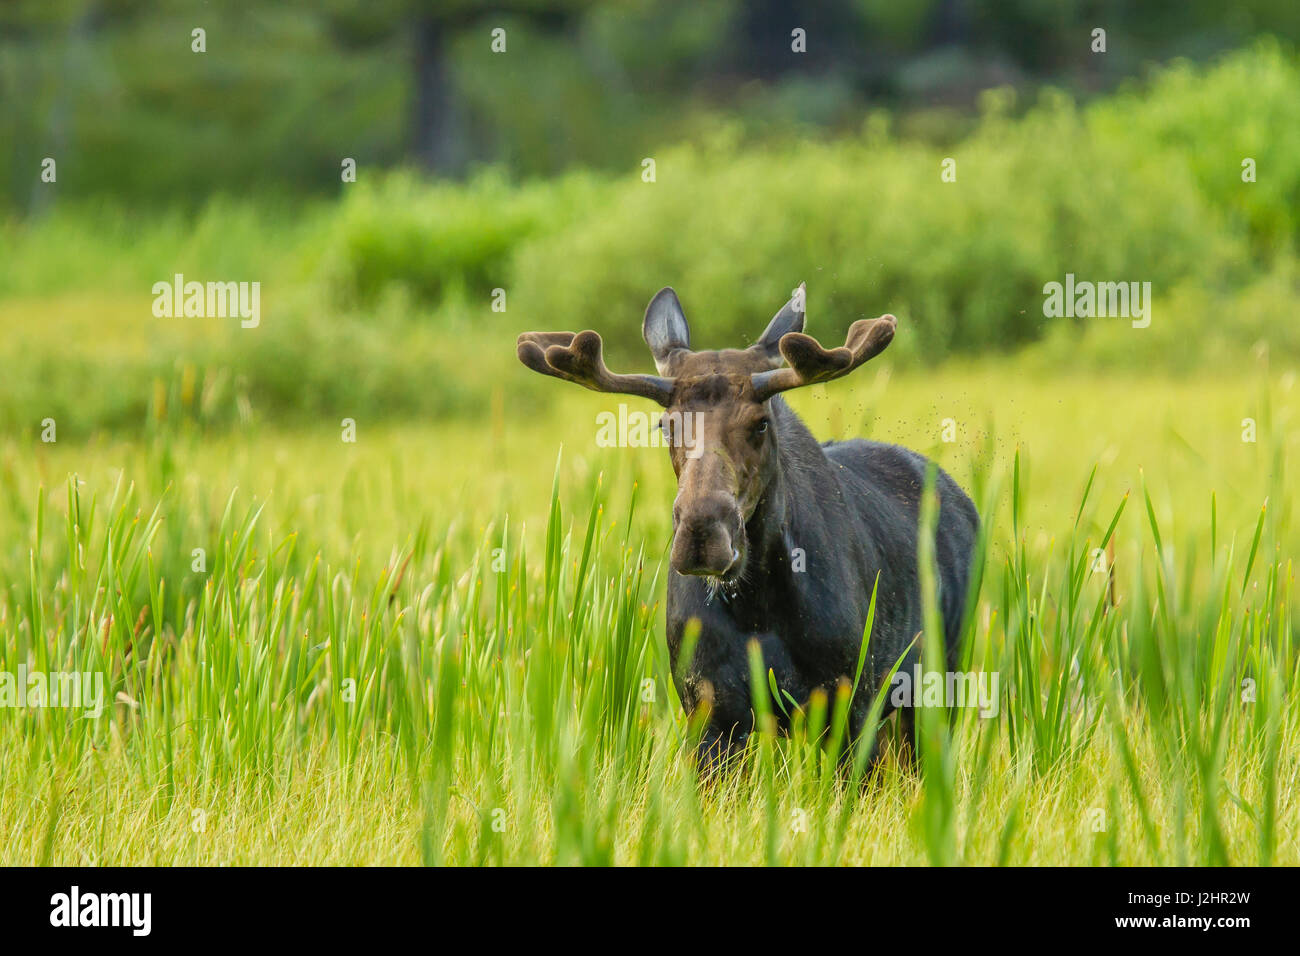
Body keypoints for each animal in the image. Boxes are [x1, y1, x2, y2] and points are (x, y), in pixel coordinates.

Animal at [517, 284, 980, 770]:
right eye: (665, 424)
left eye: (760, 422)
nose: (703, 533)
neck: (757, 603)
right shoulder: (710, 714)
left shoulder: (850, 706)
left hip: (938, 680)